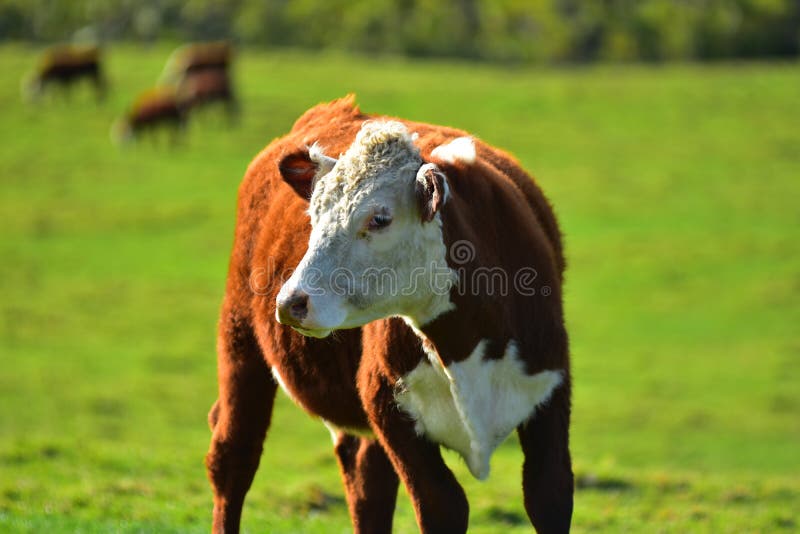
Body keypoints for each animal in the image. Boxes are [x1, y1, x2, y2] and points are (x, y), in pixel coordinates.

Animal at [206, 95, 572, 534]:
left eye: (379, 218)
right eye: (313, 214)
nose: (291, 301)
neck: (466, 345)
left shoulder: (551, 392)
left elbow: (548, 493)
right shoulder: (387, 404)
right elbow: (442, 503)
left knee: (365, 482)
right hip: (239, 337)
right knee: (233, 455)